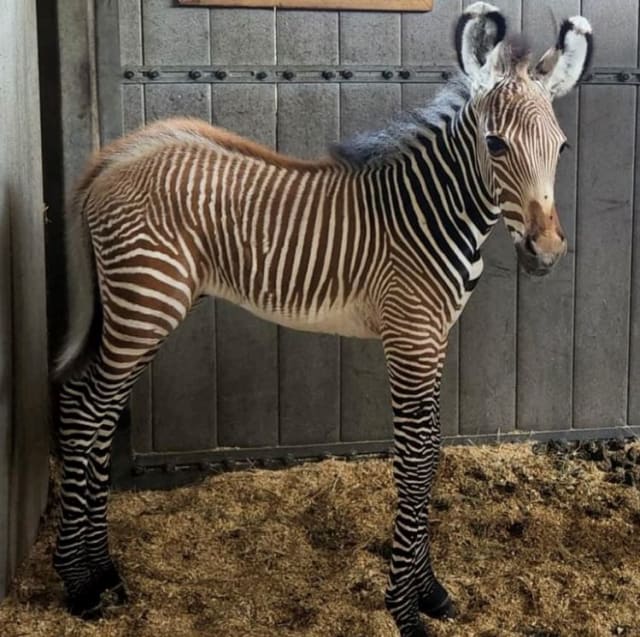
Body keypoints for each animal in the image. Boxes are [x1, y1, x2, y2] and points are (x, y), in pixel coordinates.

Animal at [53, 4, 593, 636]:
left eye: (562, 148)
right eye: (495, 144)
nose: (545, 254)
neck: (430, 213)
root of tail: (117, 155)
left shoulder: (433, 338)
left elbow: (430, 452)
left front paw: (431, 592)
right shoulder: (411, 336)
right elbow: (415, 458)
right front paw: (405, 608)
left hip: (138, 306)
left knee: (91, 409)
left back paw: (103, 573)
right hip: (145, 301)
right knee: (87, 412)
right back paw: (79, 585)